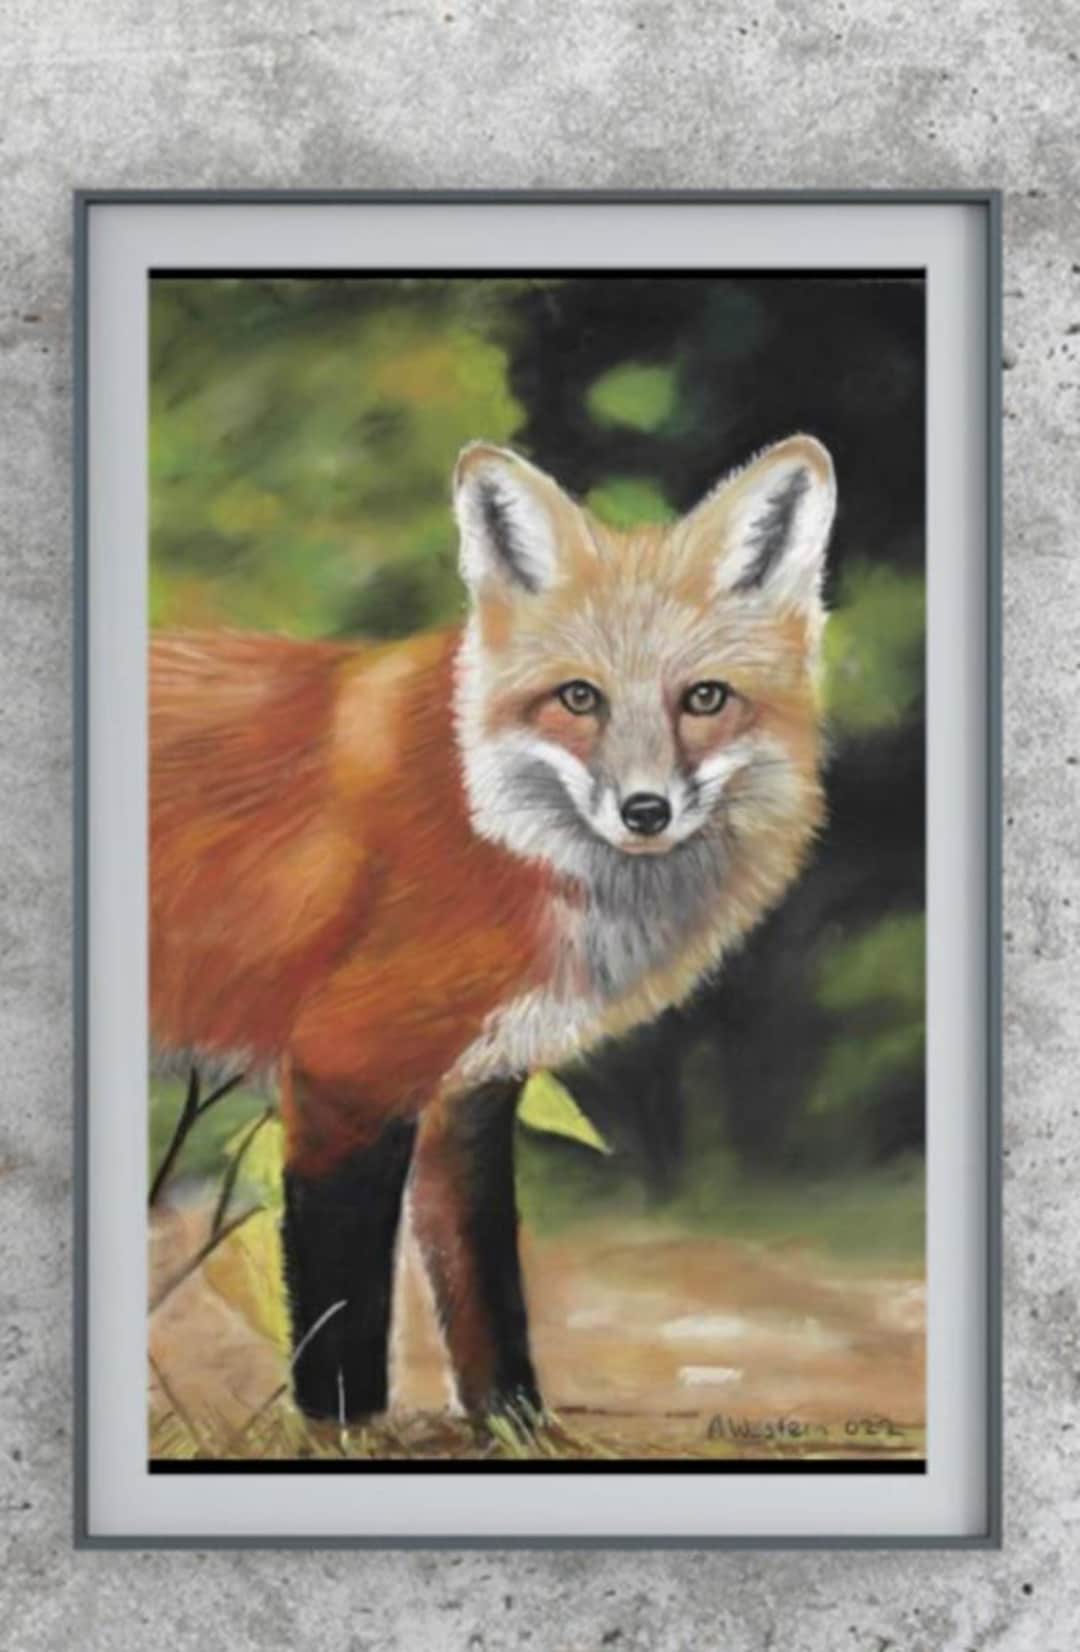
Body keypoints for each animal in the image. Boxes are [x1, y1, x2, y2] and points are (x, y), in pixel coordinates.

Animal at [150, 433, 837, 1427]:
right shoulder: (342, 1070)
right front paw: (343, 1430)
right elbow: (343, 1306)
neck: (488, 818)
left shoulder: (471, 1093)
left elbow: (486, 1294)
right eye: (579, 699)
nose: (645, 811)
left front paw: (516, 1427)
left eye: (705, 699)